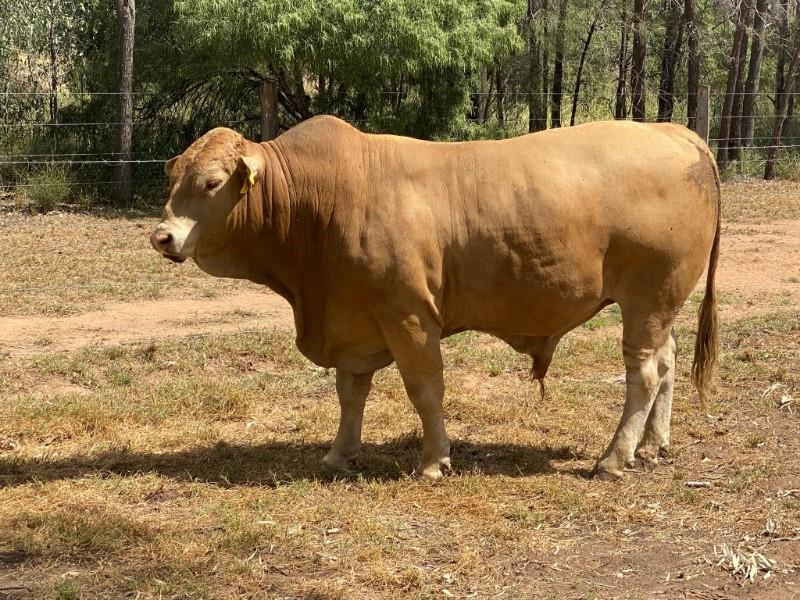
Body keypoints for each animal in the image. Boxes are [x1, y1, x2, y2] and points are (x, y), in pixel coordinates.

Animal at [150, 116, 720, 481]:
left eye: (212, 182)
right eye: (173, 177)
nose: (163, 237)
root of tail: (673, 131)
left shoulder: (408, 315)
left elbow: (425, 390)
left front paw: (433, 461)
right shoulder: (353, 315)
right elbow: (350, 393)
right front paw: (339, 454)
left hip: (647, 297)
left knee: (643, 374)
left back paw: (614, 458)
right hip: (660, 304)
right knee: (667, 363)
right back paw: (653, 445)